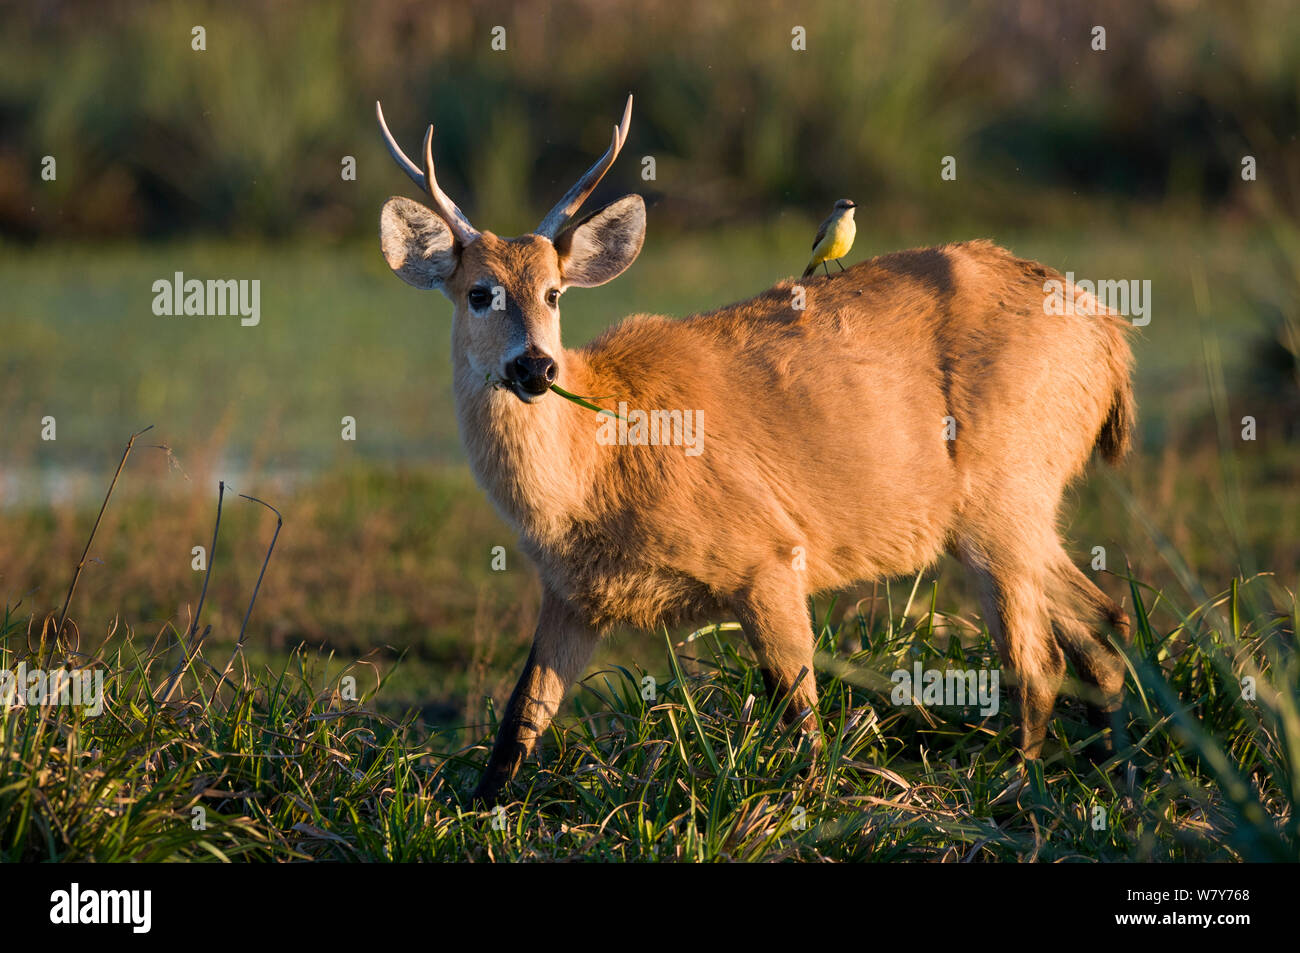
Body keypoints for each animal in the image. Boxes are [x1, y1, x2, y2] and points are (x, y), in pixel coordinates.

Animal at [374, 94, 1137, 805]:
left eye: (554, 293)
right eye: (479, 292)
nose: (535, 366)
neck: (599, 463)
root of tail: (1109, 333)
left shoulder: (770, 553)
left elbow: (800, 711)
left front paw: (809, 805)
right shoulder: (572, 595)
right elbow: (520, 718)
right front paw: (479, 808)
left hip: (1006, 498)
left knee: (1038, 661)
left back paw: (1018, 786)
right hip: (1010, 516)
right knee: (1104, 629)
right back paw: (1112, 774)